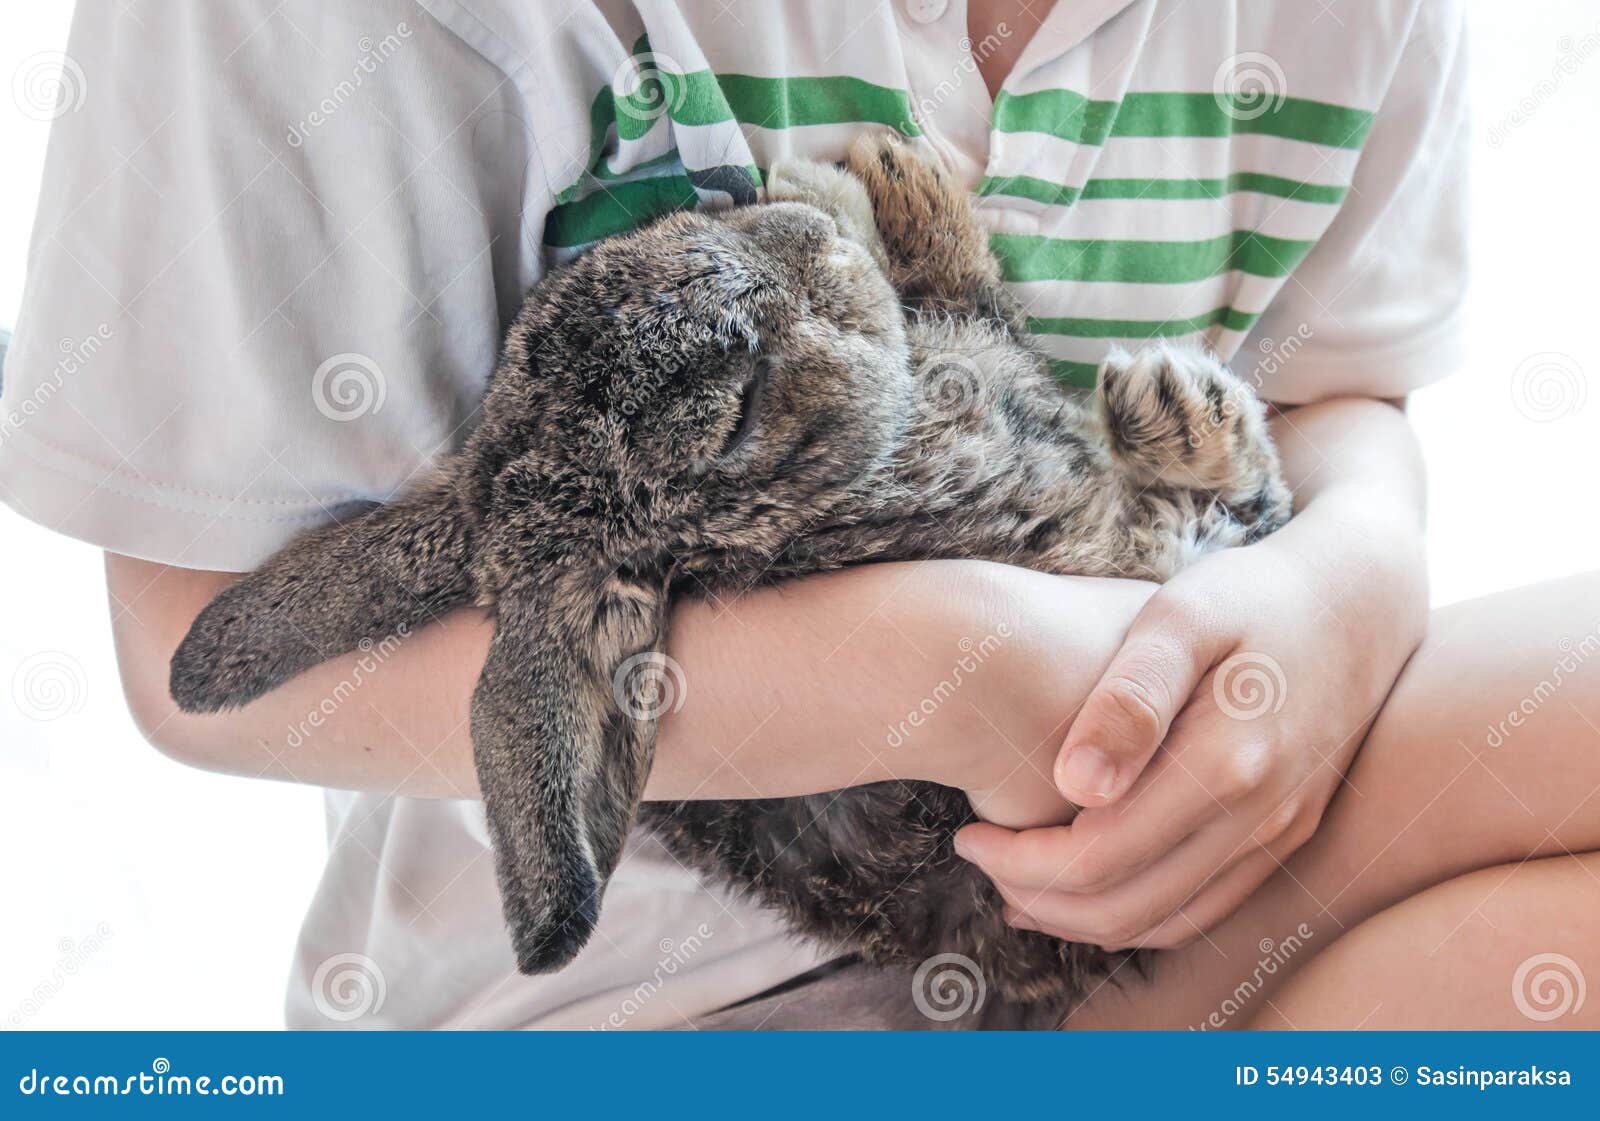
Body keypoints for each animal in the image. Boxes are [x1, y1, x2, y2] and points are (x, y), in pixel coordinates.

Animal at [170, 134, 1291, 1022]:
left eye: (616, 259)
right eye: (736, 408)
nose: (806, 228)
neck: (794, 521)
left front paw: (856, 180)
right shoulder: (1048, 483)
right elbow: (991, 325)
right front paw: (896, 180)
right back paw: (1172, 401)